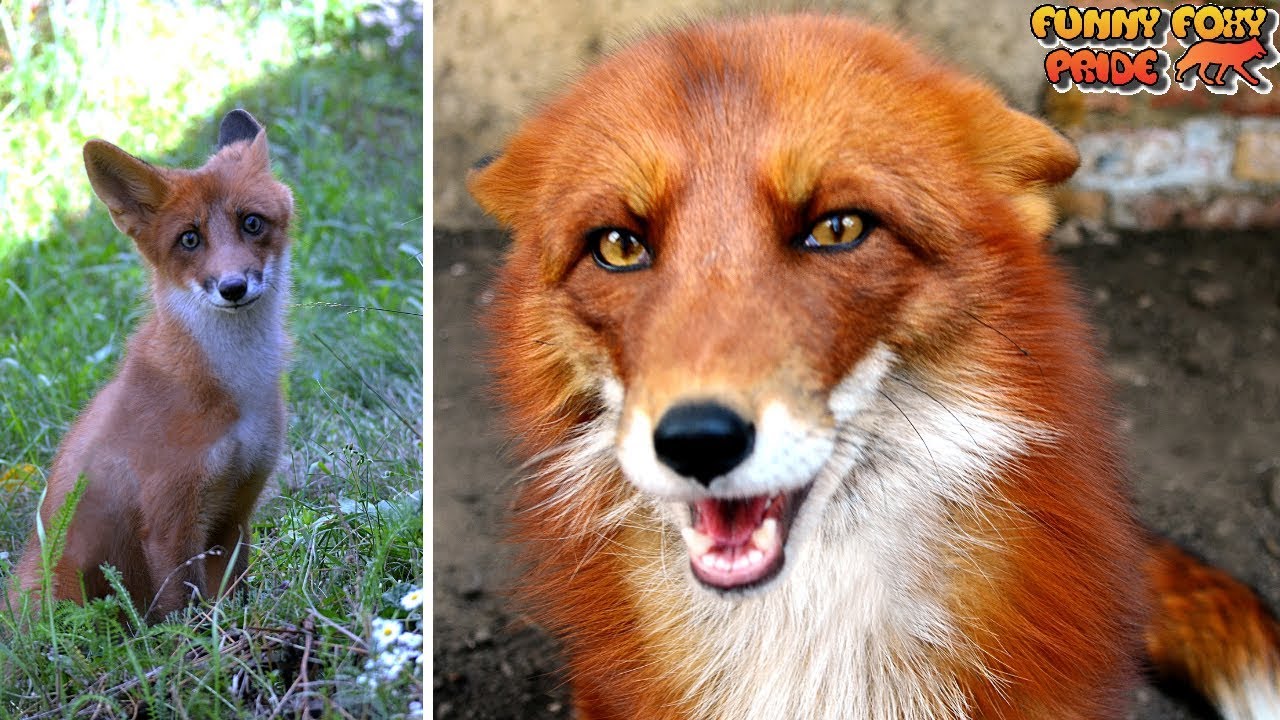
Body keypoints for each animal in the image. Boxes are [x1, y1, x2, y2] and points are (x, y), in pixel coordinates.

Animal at [7, 110, 293, 622]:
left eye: (252, 223)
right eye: (190, 239)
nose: (233, 287)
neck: (235, 390)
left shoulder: (236, 511)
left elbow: (233, 600)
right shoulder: (169, 520)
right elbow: (186, 613)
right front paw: (199, 645)